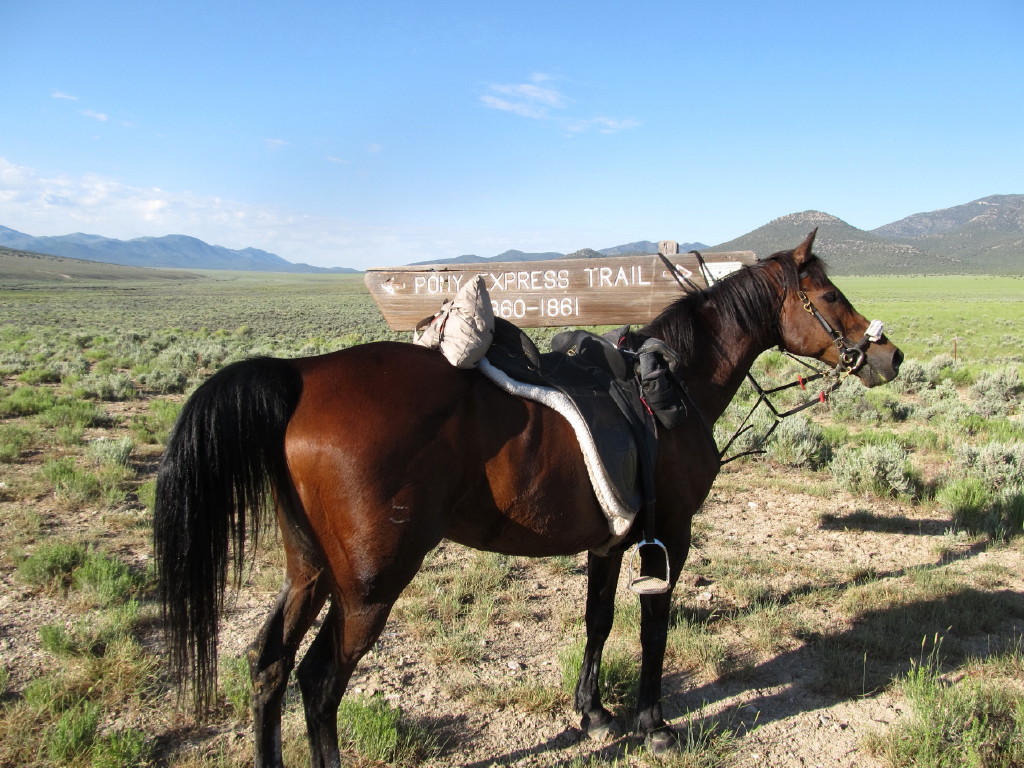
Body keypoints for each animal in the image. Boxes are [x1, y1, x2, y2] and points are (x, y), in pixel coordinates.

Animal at [154, 230, 902, 767]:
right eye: (830, 294)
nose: (887, 355)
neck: (678, 385)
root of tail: (301, 375)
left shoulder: (611, 539)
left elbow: (599, 621)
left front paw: (593, 713)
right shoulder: (671, 534)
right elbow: (653, 628)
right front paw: (653, 723)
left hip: (310, 569)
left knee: (268, 666)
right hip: (368, 584)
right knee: (317, 684)